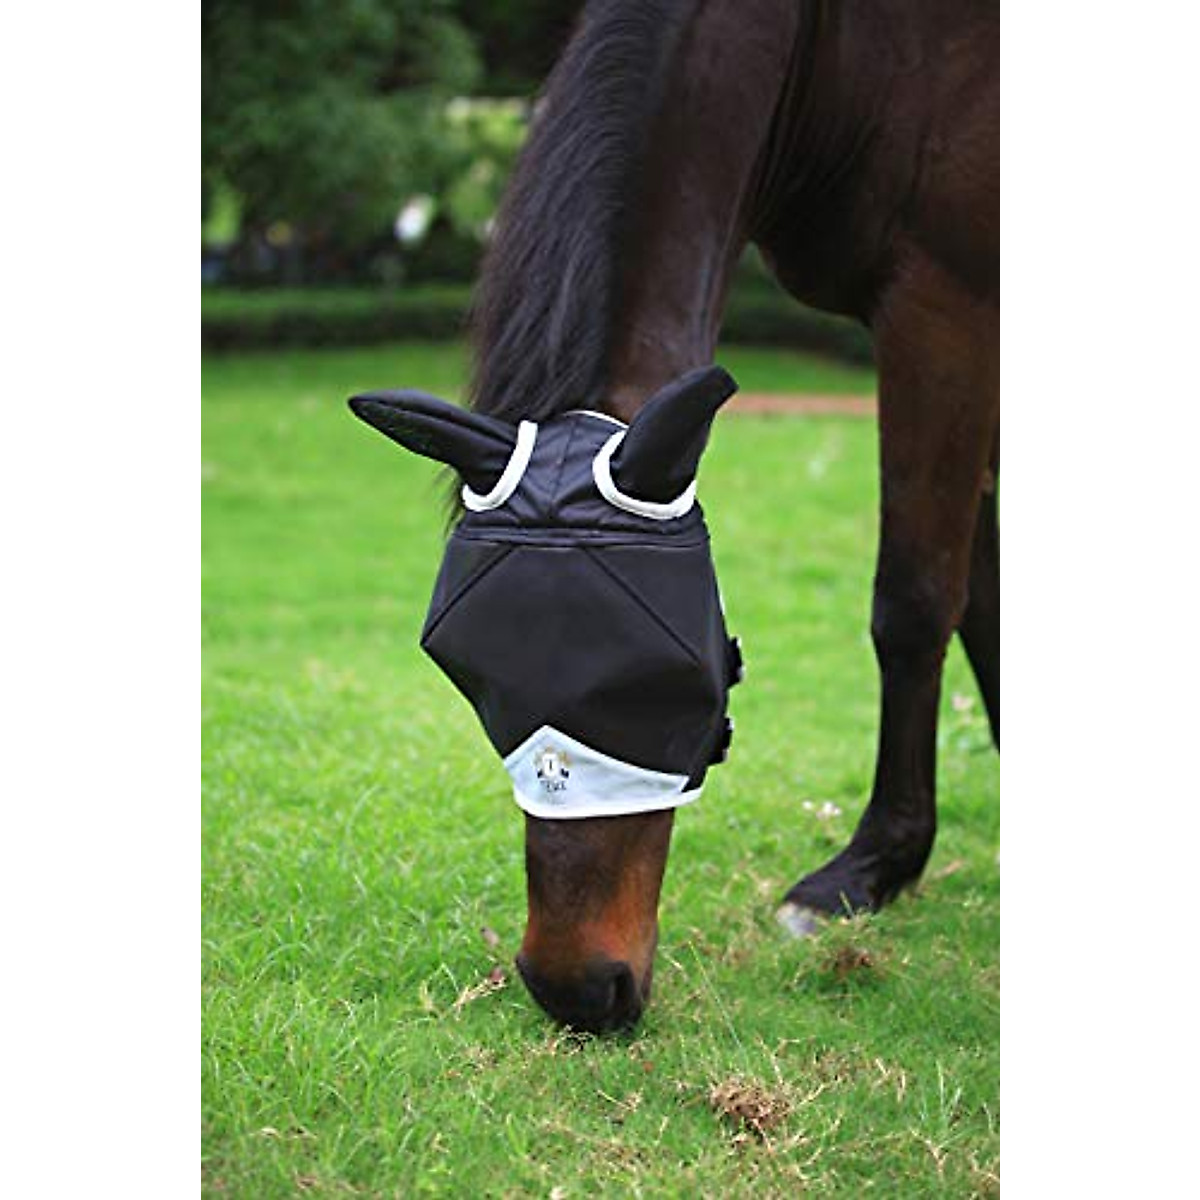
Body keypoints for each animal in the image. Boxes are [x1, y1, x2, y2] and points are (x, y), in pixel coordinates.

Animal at [367, 0, 998, 1032]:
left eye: (661, 684)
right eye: (466, 671)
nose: (576, 987)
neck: (837, 51)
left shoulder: (948, 307)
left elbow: (914, 600)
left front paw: (872, 865)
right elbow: (977, 592)